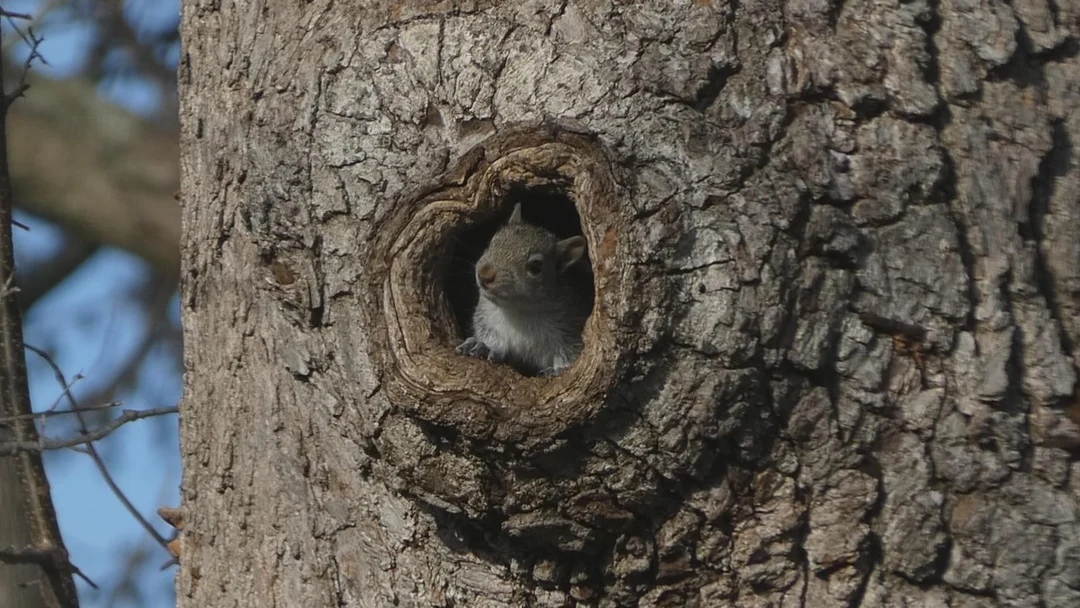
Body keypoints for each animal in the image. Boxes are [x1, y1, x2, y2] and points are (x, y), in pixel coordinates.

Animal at [456, 203, 592, 377]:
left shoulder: (571, 326)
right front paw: (485, 347)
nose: (484, 274)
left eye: (535, 266)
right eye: (492, 242)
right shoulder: (487, 316)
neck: (519, 310)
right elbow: (490, 334)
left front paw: (558, 369)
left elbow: (570, 352)